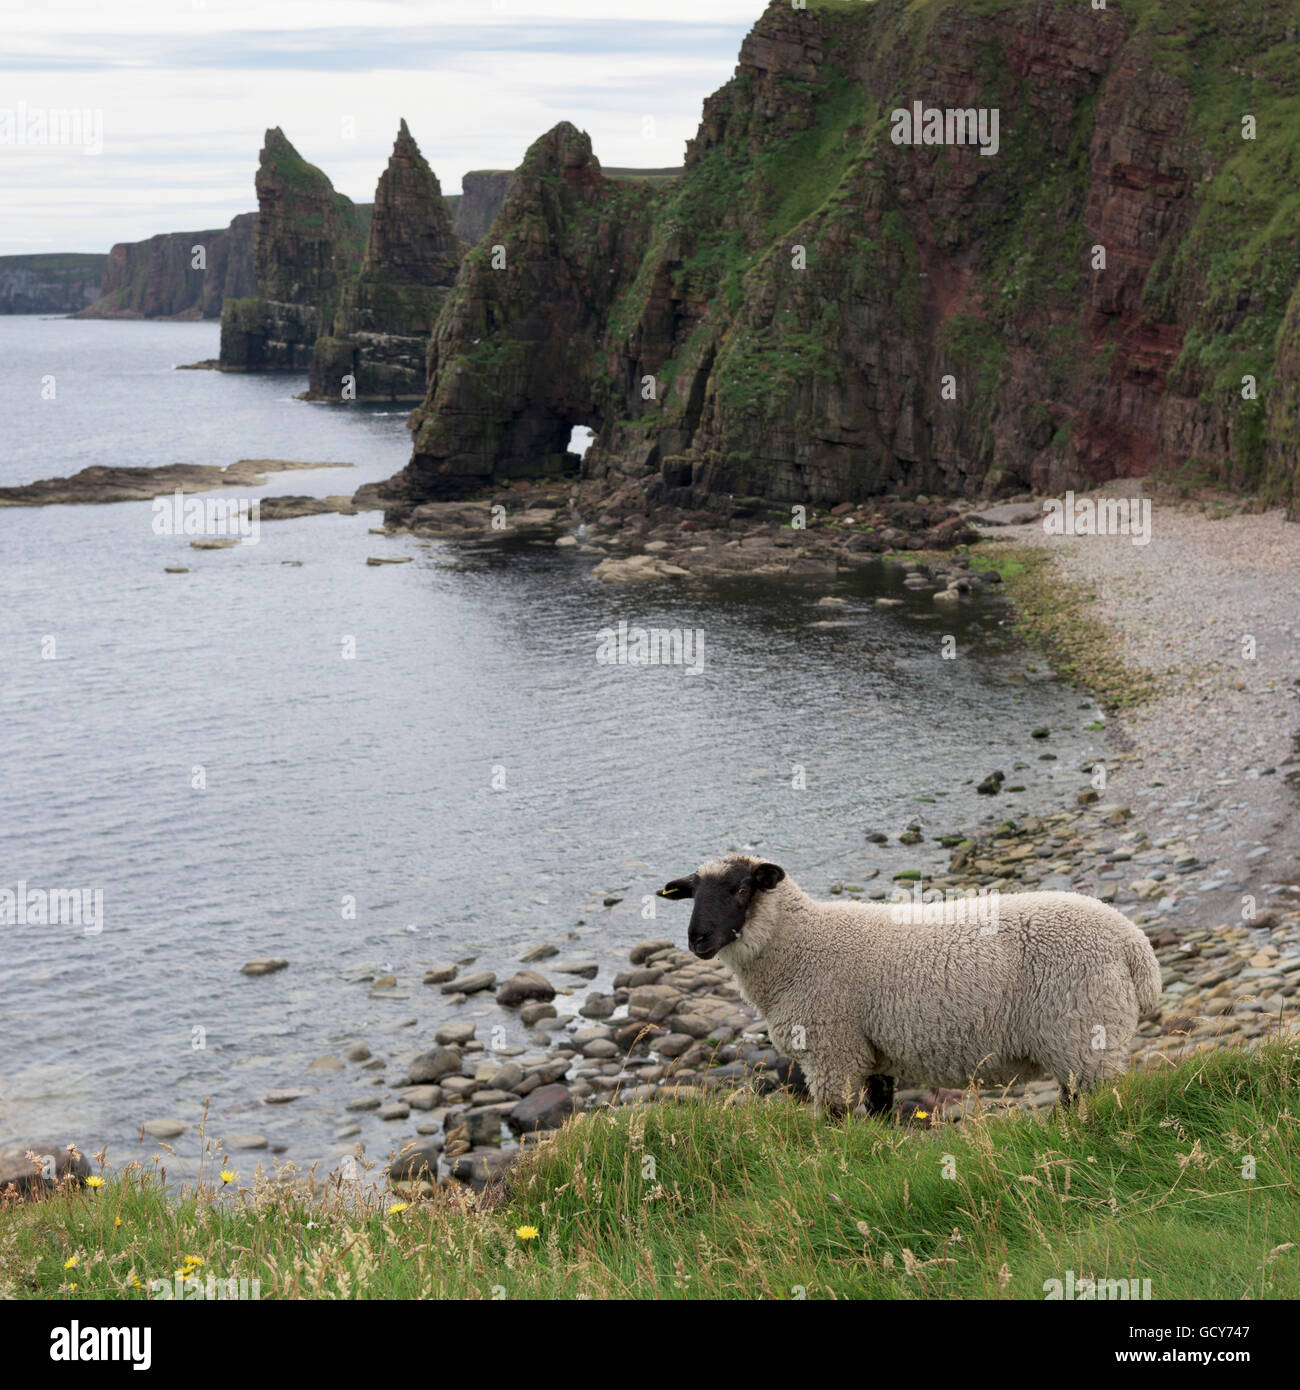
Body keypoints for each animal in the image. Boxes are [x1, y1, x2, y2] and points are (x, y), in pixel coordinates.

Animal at [658, 854, 1161, 1118]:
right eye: (693, 894)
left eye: (741, 889)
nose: (696, 940)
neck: (801, 943)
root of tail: (1135, 946)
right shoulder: (871, 1054)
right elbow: (880, 1112)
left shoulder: (832, 1051)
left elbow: (836, 1119)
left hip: (1082, 1034)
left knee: (1092, 1099)